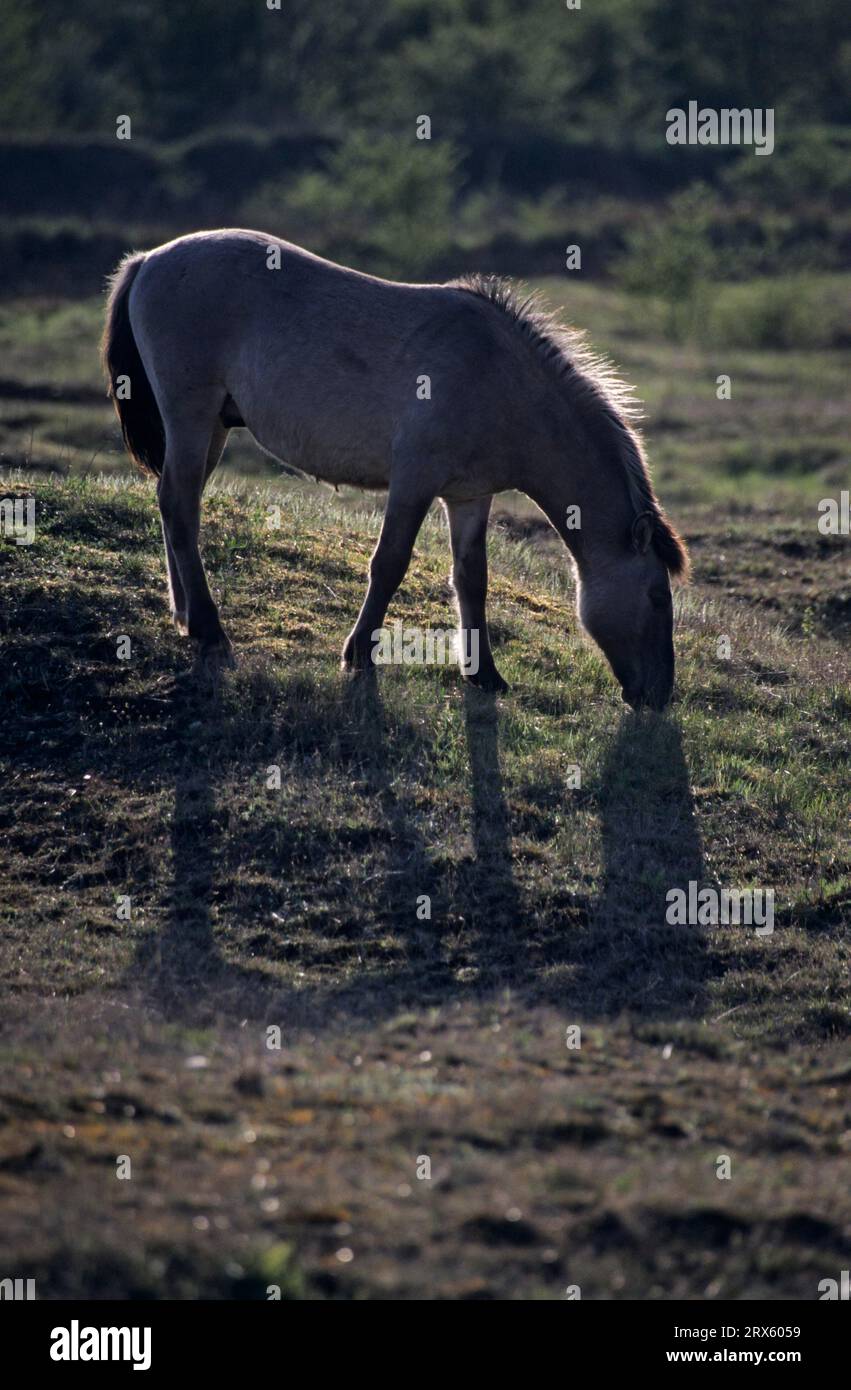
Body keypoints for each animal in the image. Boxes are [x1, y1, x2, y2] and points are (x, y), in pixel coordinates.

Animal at [102, 230, 688, 708]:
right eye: (658, 597)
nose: (660, 697)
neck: (498, 379)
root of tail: (149, 259)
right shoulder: (413, 481)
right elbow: (389, 564)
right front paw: (359, 655)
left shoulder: (469, 496)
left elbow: (472, 578)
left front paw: (484, 674)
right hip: (191, 417)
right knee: (178, 505)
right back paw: (209, 630)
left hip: (212, 429)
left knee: (180, 507)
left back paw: (186, 616)